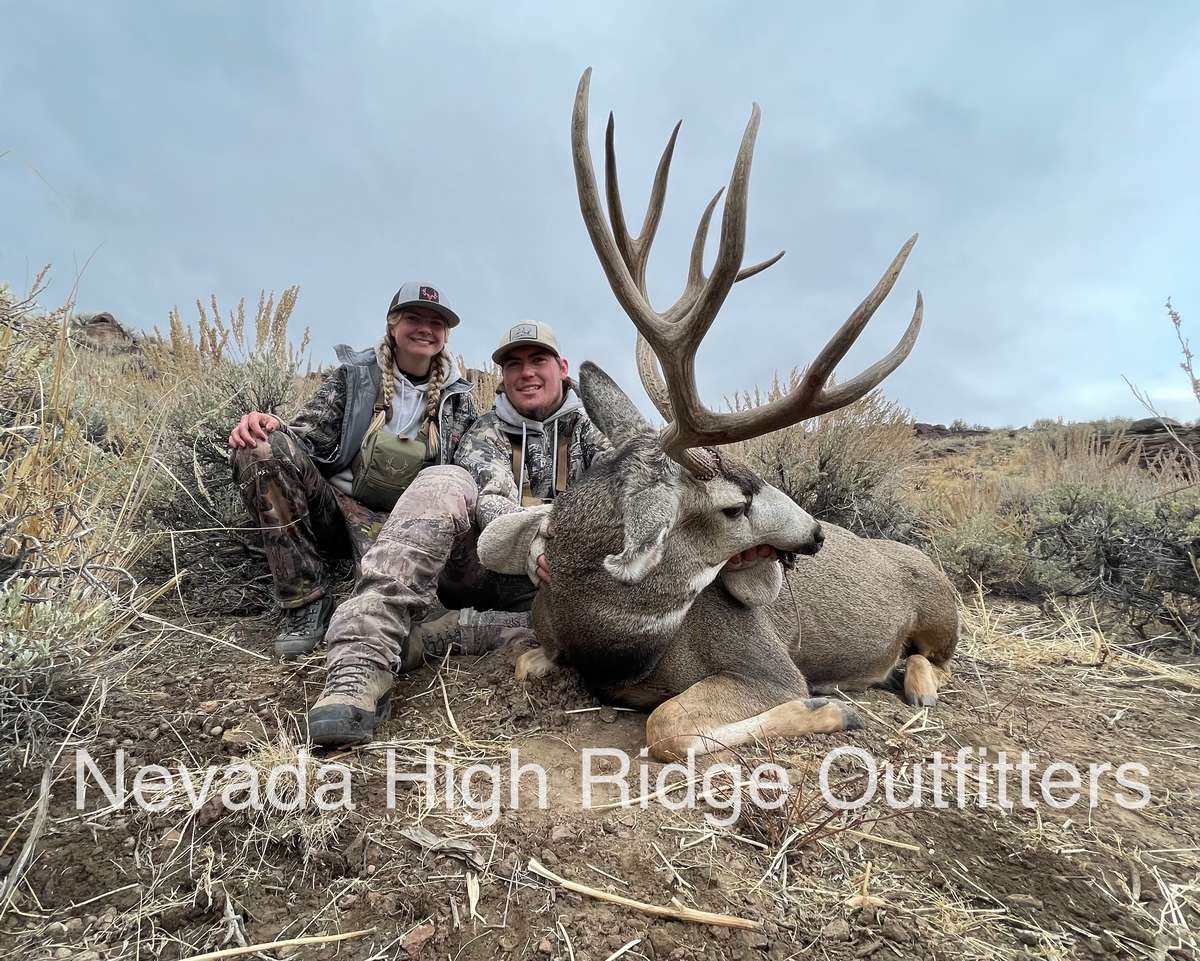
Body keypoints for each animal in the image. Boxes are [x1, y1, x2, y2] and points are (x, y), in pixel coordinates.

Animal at [478, 69, 958, 763]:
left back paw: (911, 683)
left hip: (943, 609)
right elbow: (524, 661)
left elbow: (666, 725)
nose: (816, 534)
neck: (613, 646)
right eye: (734, 506)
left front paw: (835, 710)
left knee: (938, 657)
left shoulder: (768, 664)